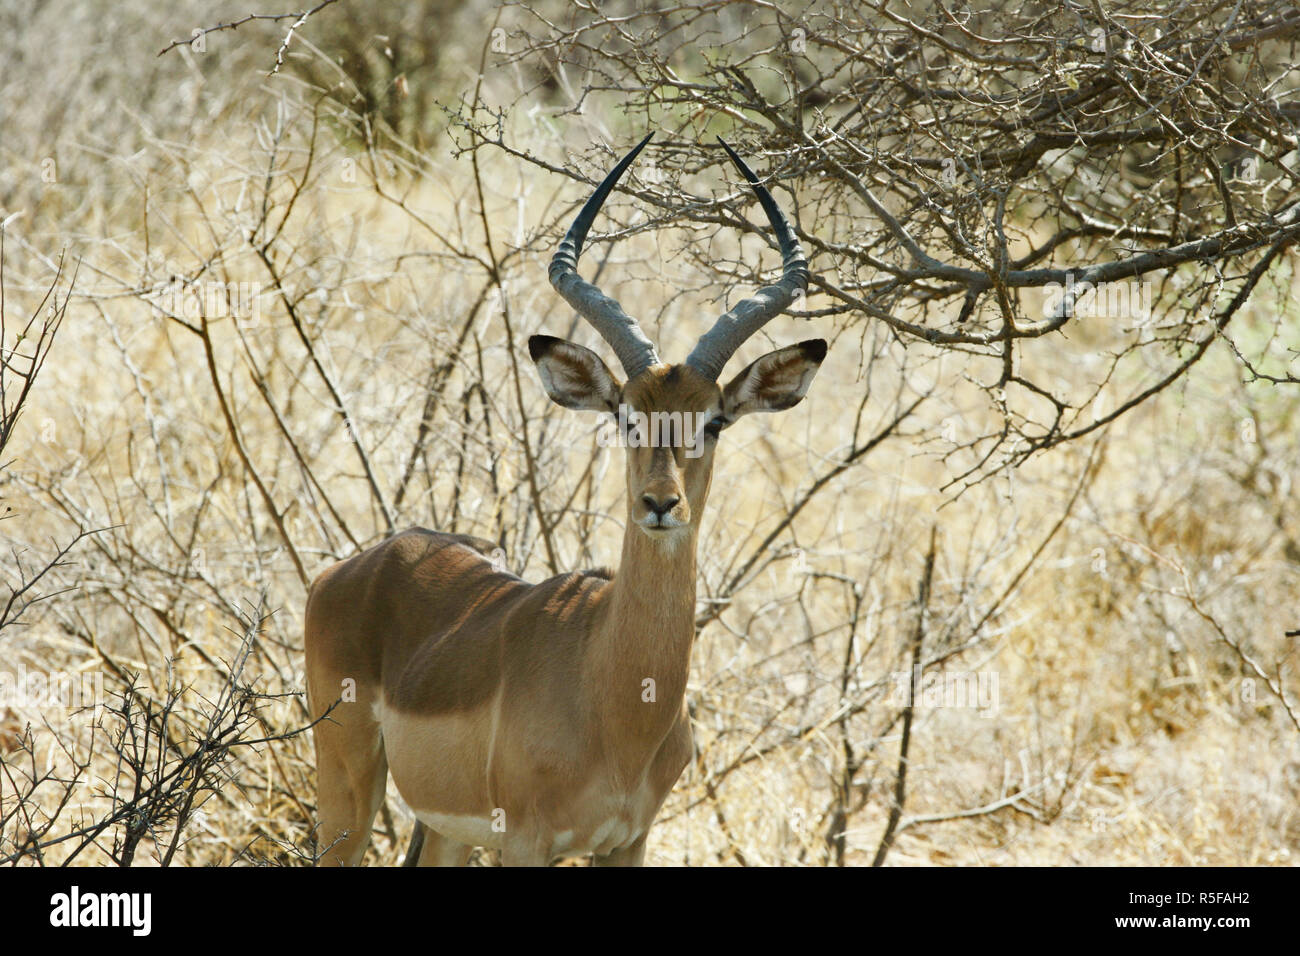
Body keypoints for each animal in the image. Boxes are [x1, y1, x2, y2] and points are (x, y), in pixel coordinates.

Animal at [304, 134, 826, 866]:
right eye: (626, 416)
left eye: (715, 421)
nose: (660, 504)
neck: (614, 699)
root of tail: (366, 561)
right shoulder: (527, 843)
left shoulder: (628, 842)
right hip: (347, 784)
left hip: (443, 828)